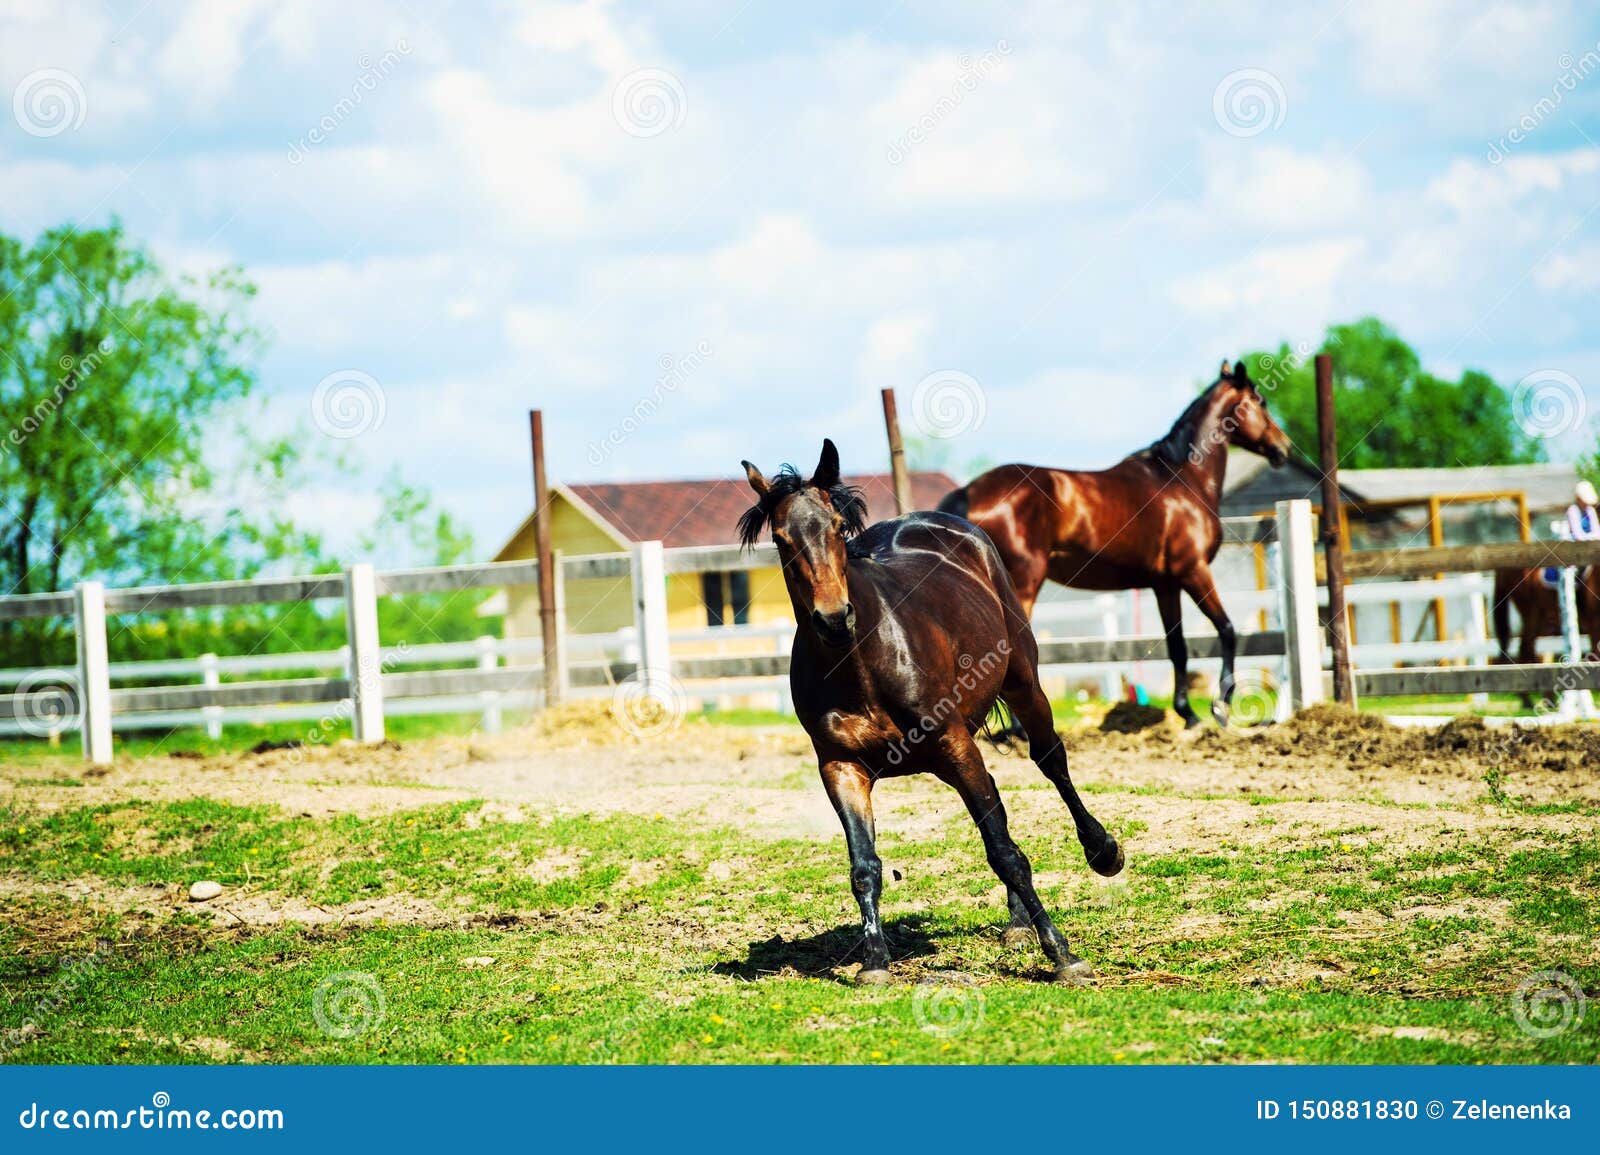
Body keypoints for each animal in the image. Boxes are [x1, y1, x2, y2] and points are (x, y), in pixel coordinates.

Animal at [738, 439, 1124, 984]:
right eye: (781, 537)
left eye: (837, 526)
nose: (834, 619)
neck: (863, 668)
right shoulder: (841, 767)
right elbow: (865, 866)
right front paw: (874, 962)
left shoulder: (954, 743)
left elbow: (1004, 852)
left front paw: (1063, 955)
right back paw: (1016, 923)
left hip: (1023, 685)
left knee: (1051, 761)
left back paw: (1102, 851)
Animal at [937, 360, 1294, 728]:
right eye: (1261, 401)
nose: (1284, 448)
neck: (1183, 478)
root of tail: (967, 493)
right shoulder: (1193, 571)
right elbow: (1226, 629)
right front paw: (1220, 707)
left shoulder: (1165, 585)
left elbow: (1177, 647)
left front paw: (1187, 713)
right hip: (1023, 583)